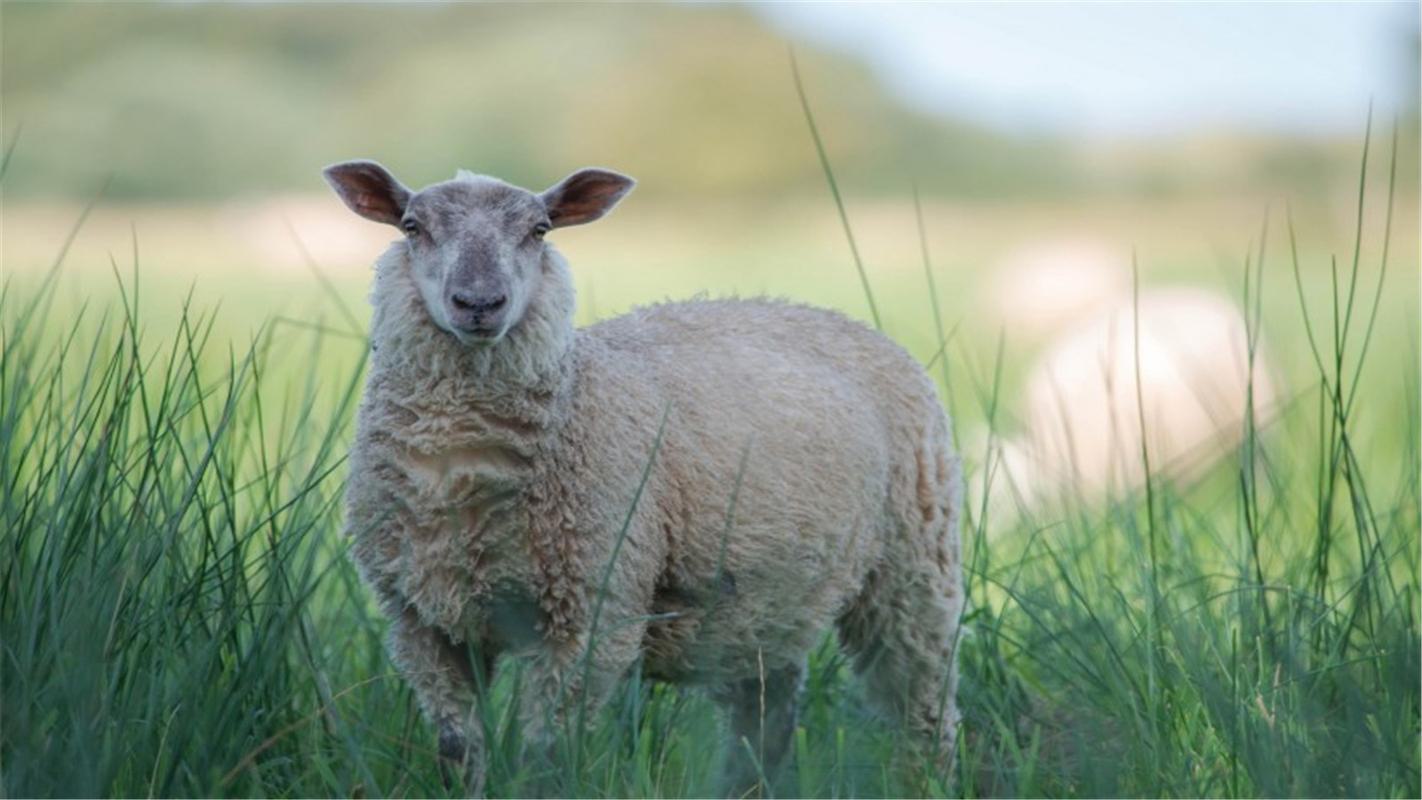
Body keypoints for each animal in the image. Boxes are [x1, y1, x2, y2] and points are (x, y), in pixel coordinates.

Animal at [323, 160, 963, 795]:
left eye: (539, 230)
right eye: (412, 226)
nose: (479, 302)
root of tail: (822, 311)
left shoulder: (589, 619)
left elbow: (544, 758)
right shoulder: (425, 625)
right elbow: (459, 753)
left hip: (913, 570)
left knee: (924, 706)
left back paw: (927, 777)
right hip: (768, 602)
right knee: (767, 718)